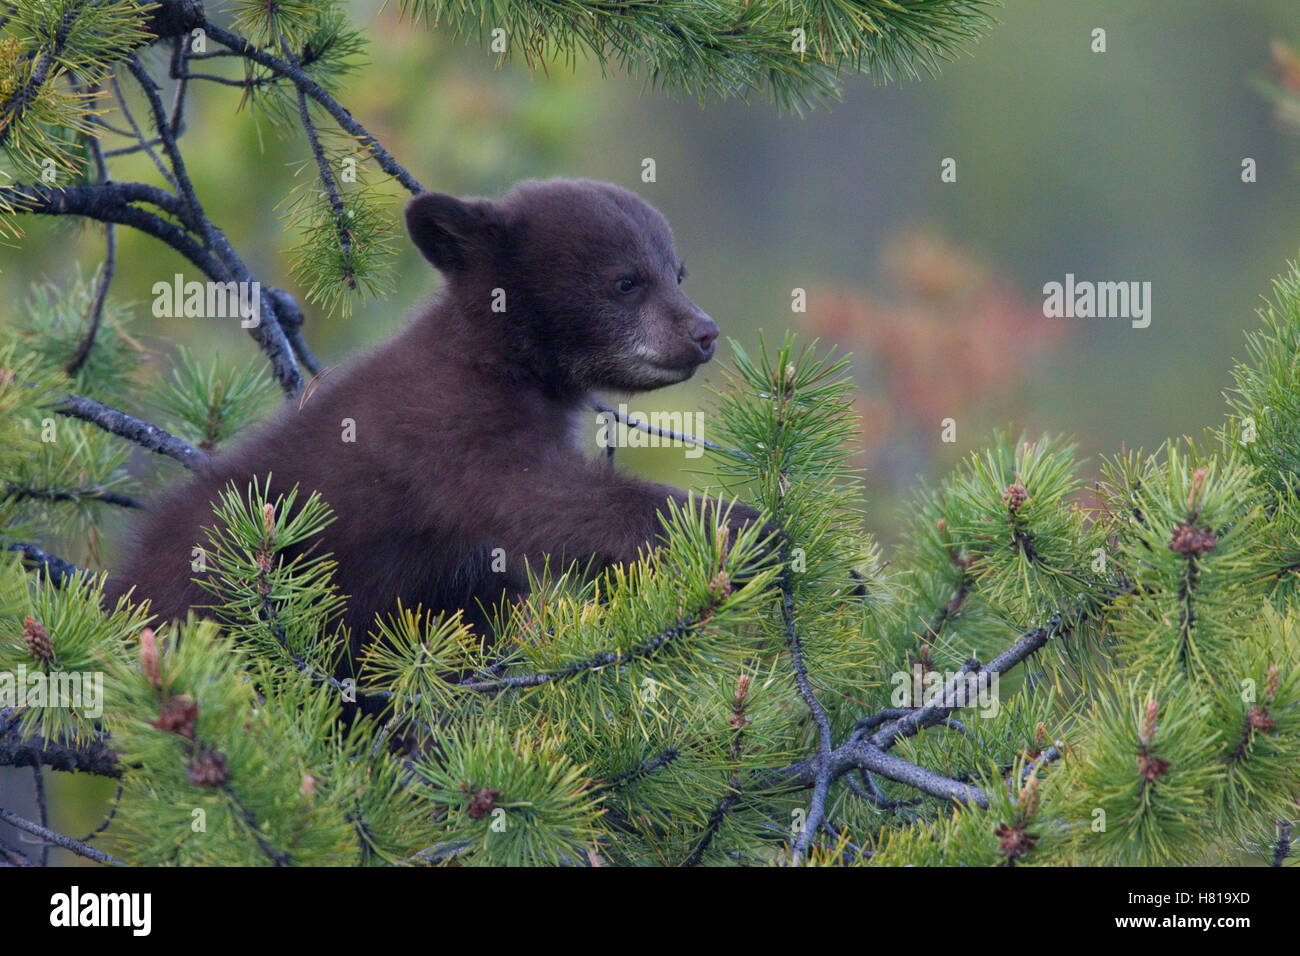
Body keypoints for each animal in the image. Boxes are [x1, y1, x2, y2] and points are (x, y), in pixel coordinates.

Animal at [105, 178, 762, 676]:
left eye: (678, 272)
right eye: (627, 280)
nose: (704, 333)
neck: (498, 362)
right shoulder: (448, 432)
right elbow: (544, 501)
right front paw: (745, 525)